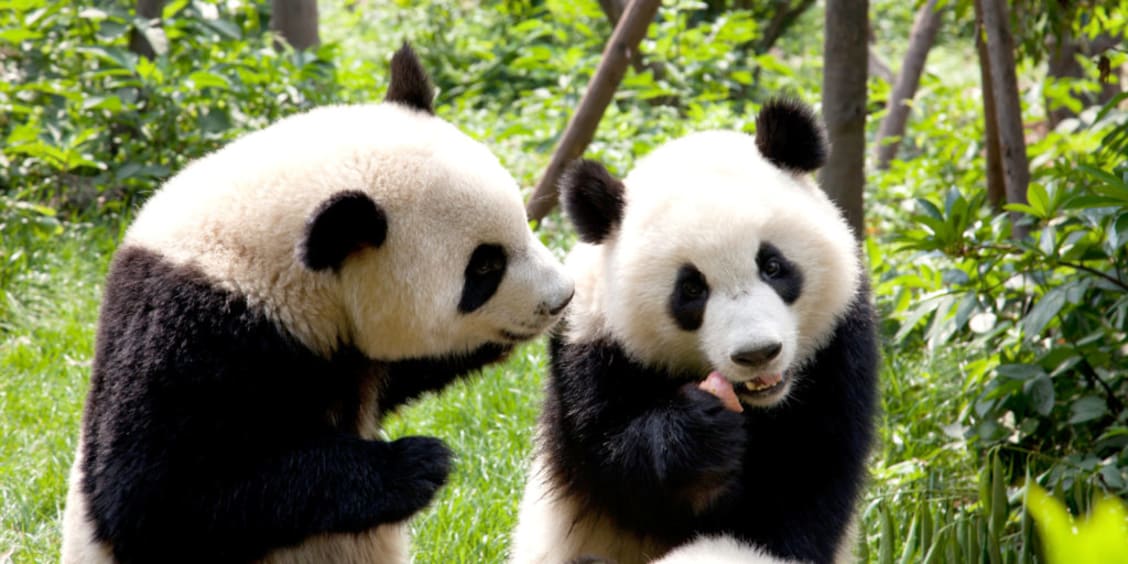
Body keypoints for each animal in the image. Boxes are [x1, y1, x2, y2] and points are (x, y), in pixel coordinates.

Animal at [60, 44, 574, 564]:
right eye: (485, 267)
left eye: (524, 223)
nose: (560, 298)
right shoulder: (197, 337)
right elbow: (158, 502)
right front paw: (414, 463)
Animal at [509, 99, 877, 564]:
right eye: (691, 290)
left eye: (773, 265)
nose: (757, 352)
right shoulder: (590, 349)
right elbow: (609, 457)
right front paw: (700, 434)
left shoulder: (840, 352)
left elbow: (808, 480)